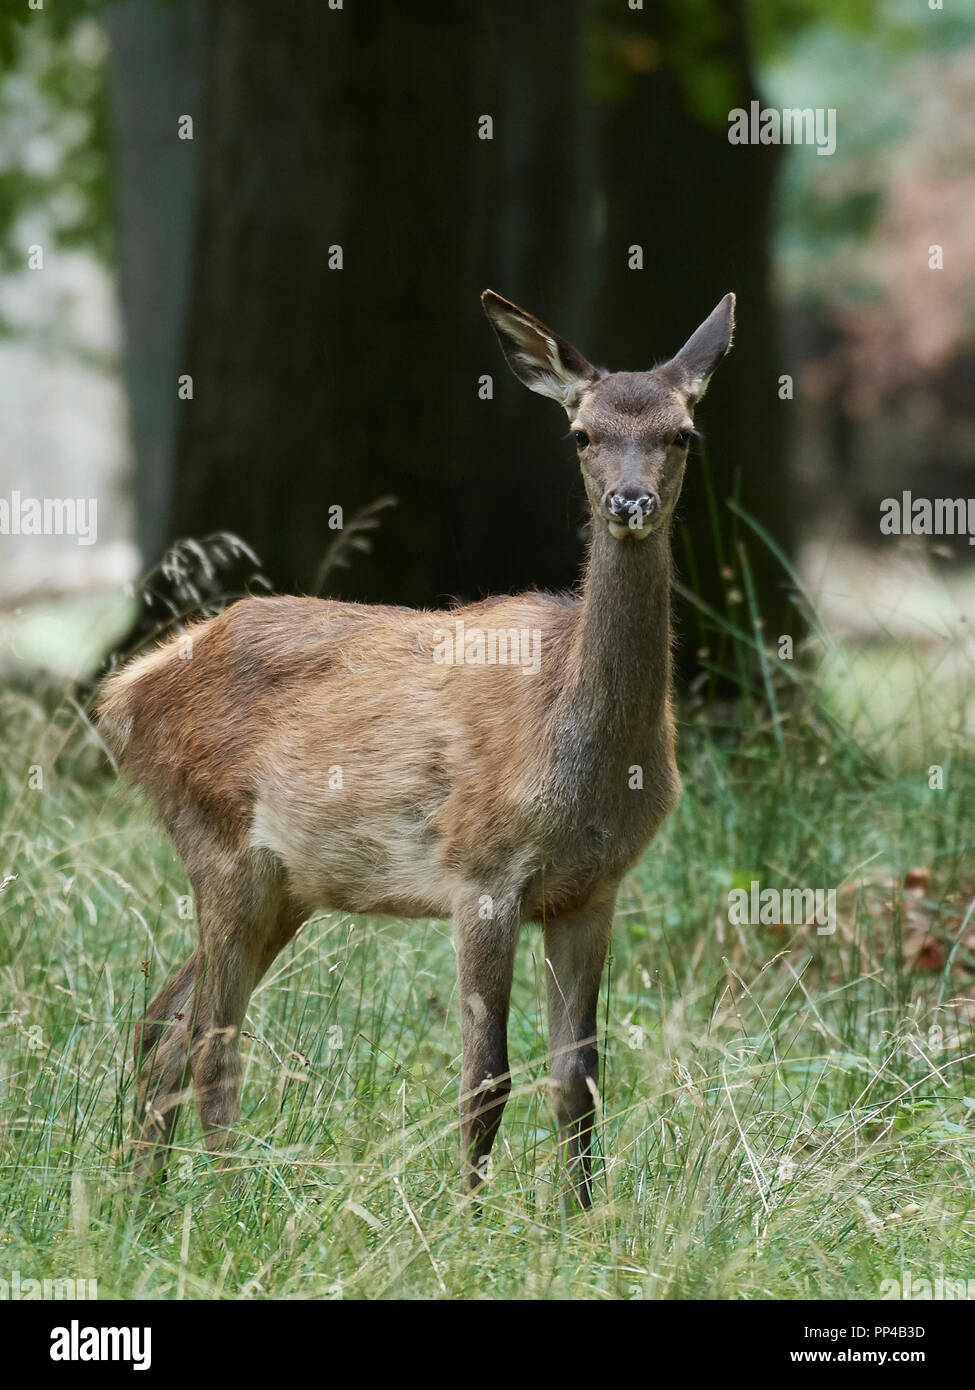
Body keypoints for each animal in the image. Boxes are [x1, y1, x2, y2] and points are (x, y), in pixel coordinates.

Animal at [96, 288, 735, 1209]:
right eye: (581, 433)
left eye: (682, 433)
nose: (628, 503)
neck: (584, 764)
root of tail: (123, 693)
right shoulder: (480, 870)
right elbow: (485, 1076)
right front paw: (466, 1221)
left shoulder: (592, 892)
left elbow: (577, 1080)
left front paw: (581, 1220)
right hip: (216, 844)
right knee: (210, 1041)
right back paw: (224, 1205)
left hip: (284, 885)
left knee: (162, 1027)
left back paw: (143, 1205)